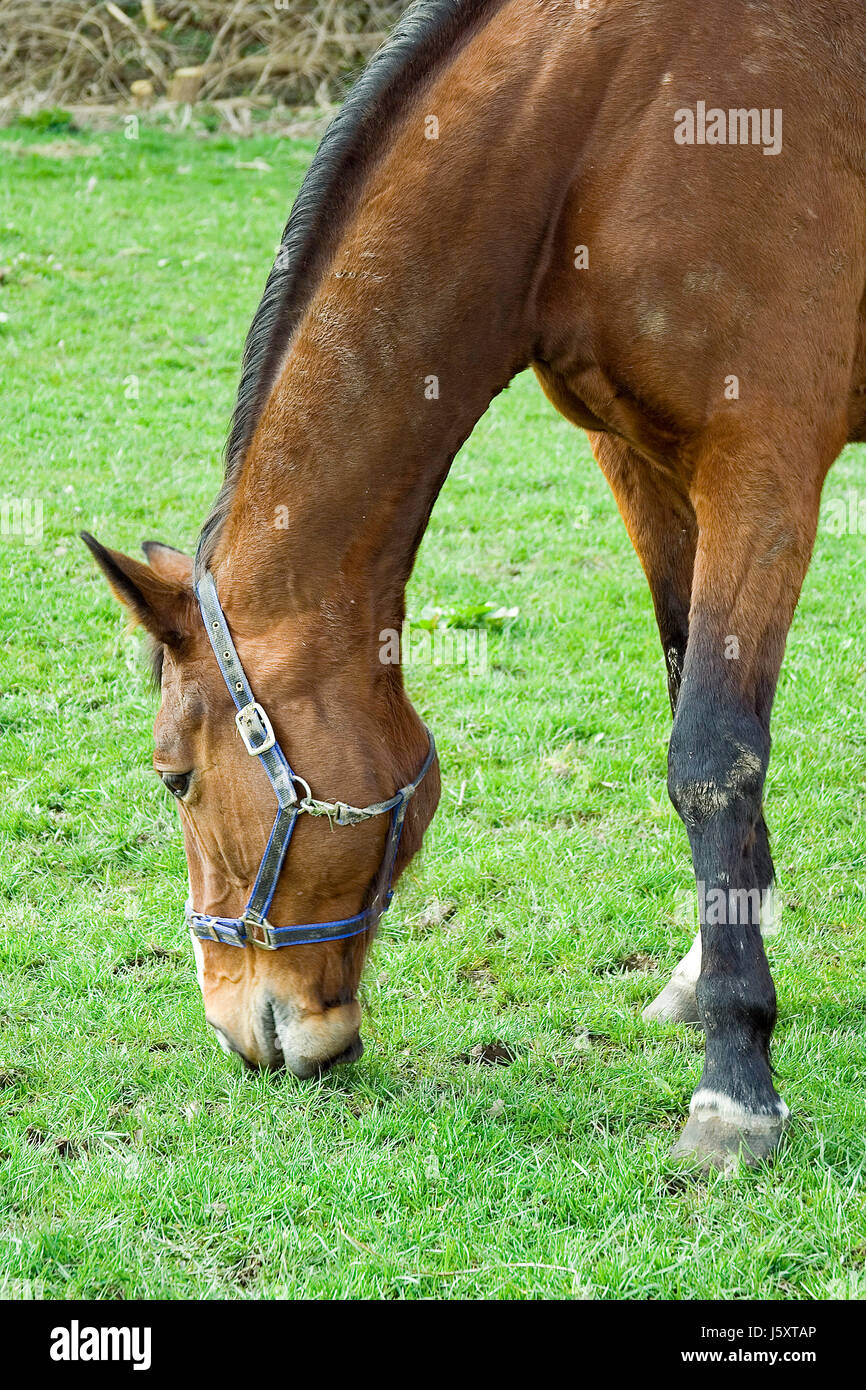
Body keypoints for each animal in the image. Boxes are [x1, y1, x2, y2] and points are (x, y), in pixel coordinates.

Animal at [83, 0, 866, 1171]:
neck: (607, 127)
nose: (239, 1031)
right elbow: (685, 691)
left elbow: (712, 754)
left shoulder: (759, 472)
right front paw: (704, 969)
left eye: (174, 779)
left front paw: (736, 1082)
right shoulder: (639, 461)